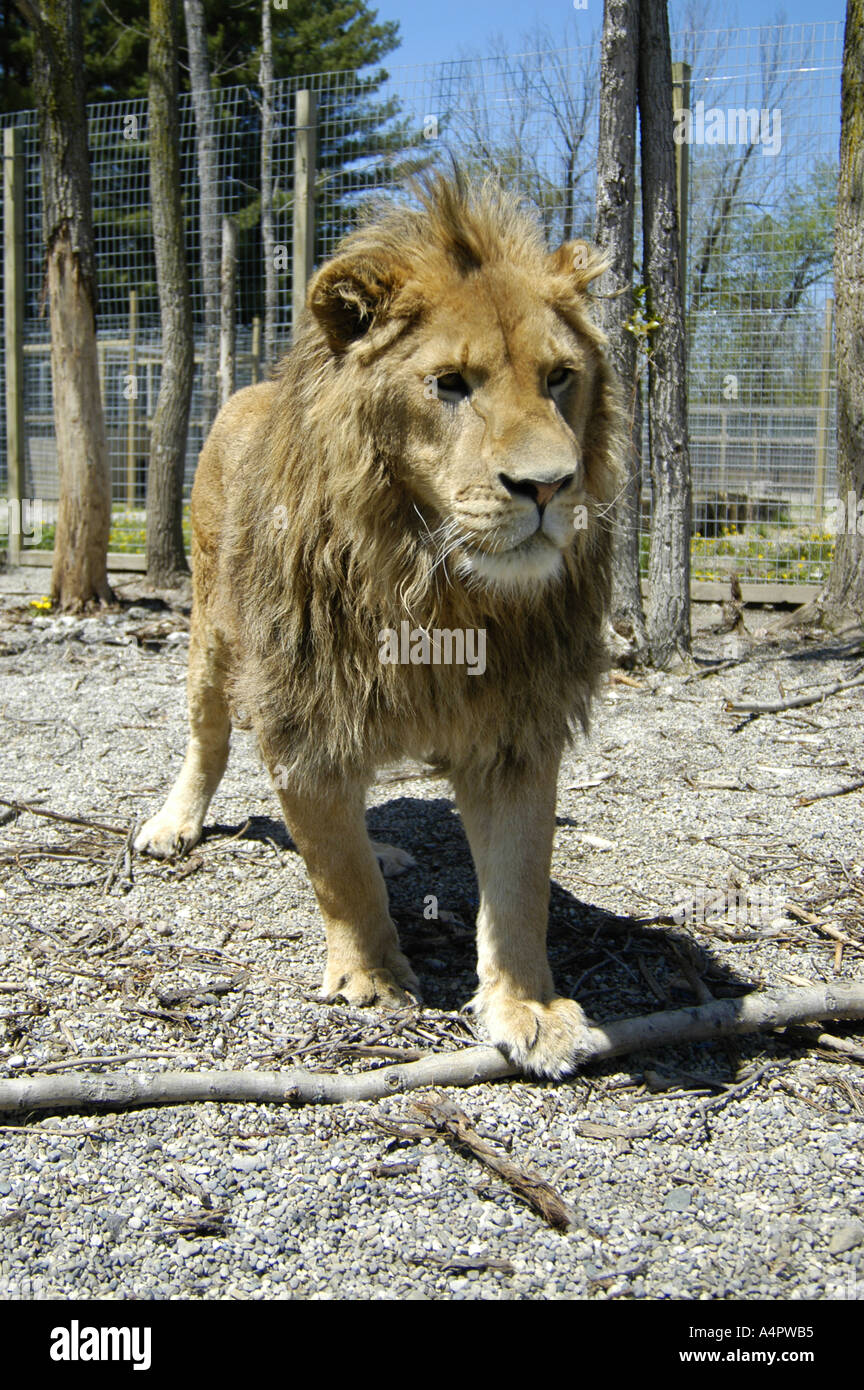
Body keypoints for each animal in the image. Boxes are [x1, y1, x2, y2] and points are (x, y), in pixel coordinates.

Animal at [135, 174, 623, 1078]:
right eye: (451, 383)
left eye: (560, 377)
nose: (549, 485)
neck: (440, 590)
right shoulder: (305, 718)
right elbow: (339, 869)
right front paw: (372, 977)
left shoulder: (516, 729)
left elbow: (520, 884)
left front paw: (530, 1009)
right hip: (212, 635)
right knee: (207, 741)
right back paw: (173, 824)